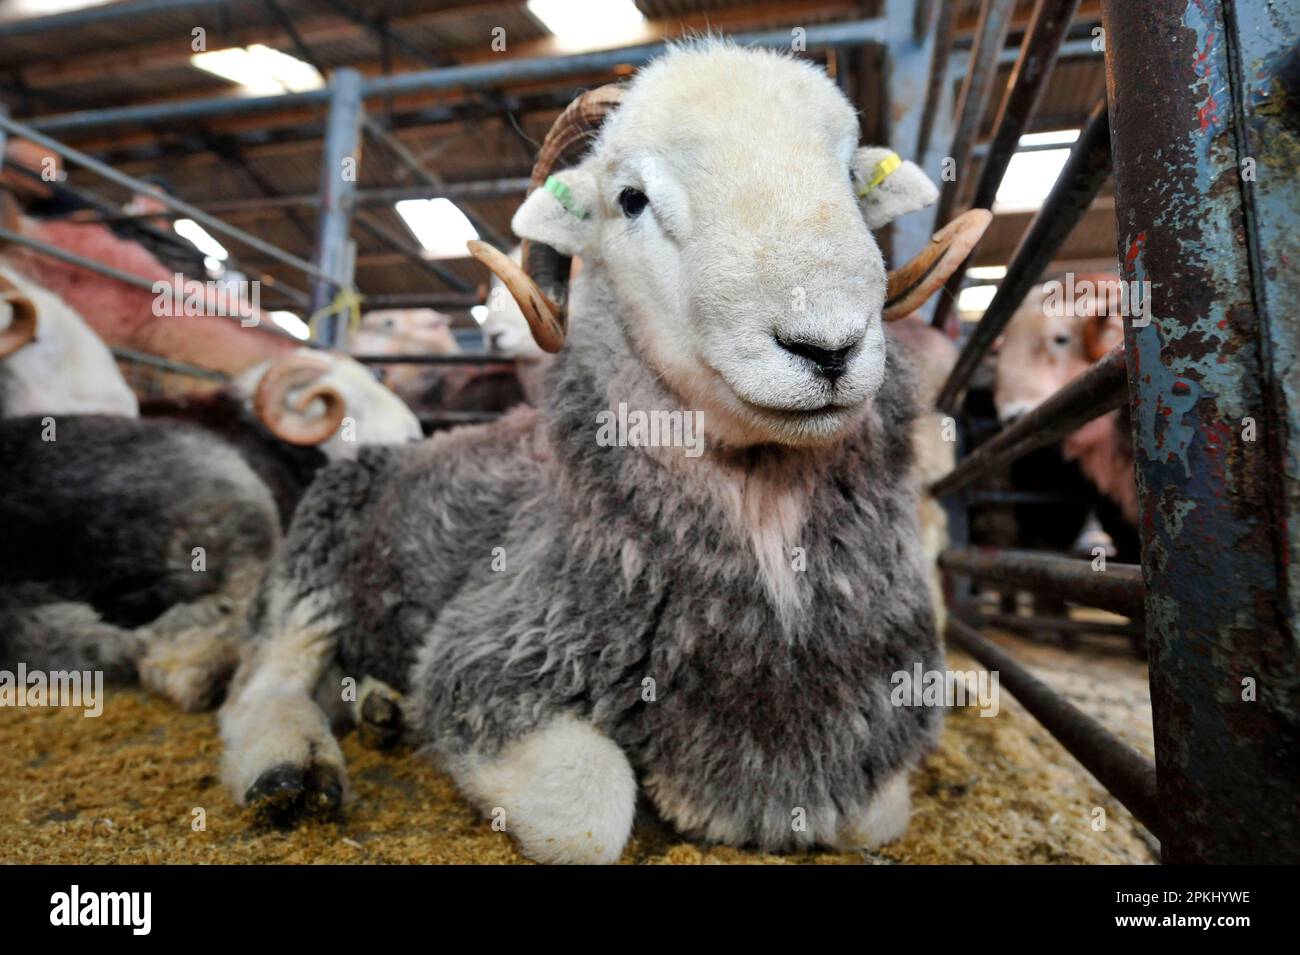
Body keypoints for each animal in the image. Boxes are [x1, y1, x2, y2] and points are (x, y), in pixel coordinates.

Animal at [219, 42, 991, 863]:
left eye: (849, 176)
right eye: (631, 200)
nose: (828, 347)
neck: (763, 519)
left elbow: (876, 816)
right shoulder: (488, 657)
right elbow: (588, 810)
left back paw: (379, 704)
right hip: (312, 564)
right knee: (263, 681)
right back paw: (290, 767)